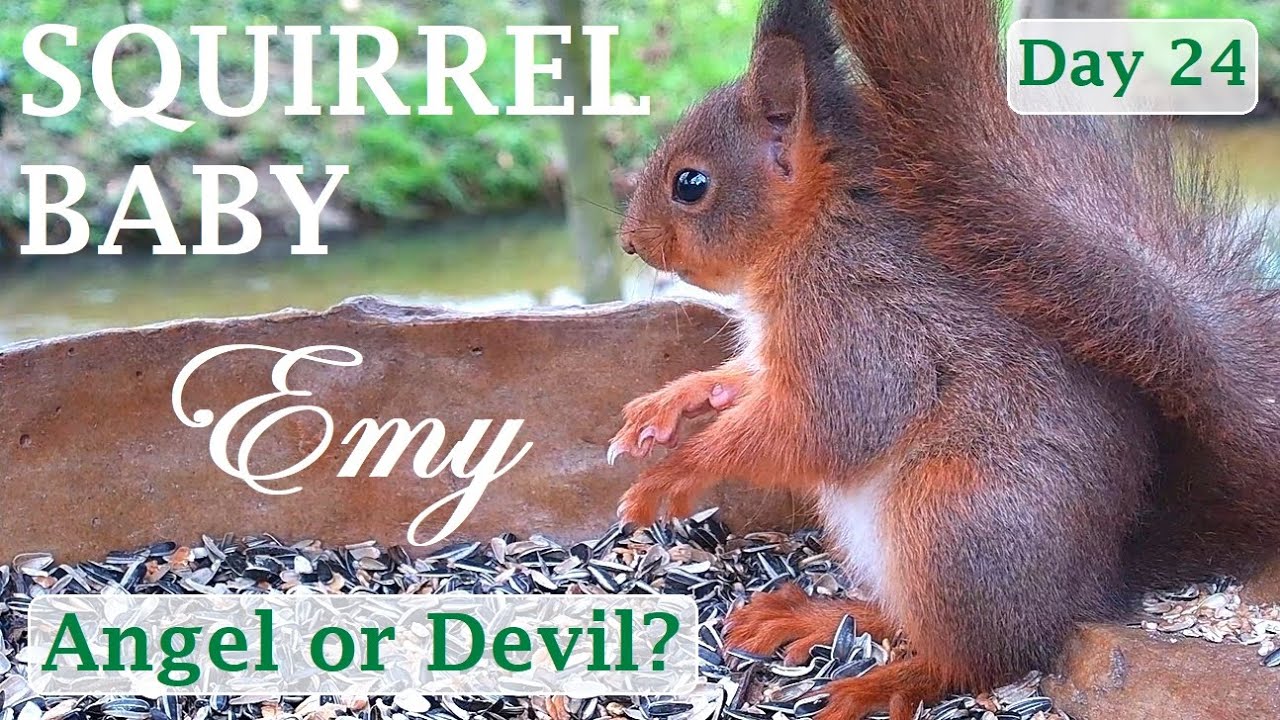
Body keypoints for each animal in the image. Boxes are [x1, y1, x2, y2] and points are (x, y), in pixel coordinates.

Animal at [605, 0, 1280, 717]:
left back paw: (883, 681)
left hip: (950, 522)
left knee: (975, 658)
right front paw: (669, 405)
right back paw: (817, 618)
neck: (811, 228)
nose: (630, 243)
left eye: (690, 184)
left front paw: (674, 473)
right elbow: (743, 381)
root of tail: (1098, 582)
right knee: (908, 622)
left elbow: (830, 425)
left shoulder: (863, 325)